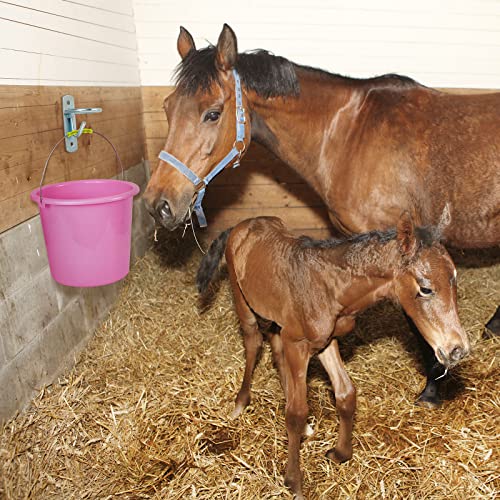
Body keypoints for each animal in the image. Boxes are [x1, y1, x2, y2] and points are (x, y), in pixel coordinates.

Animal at [197, 213, 470, 498]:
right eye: (426, 288)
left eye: (454, 278)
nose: (457, 349)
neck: (330, 288)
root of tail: (242, 225)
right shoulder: (298, 344)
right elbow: (296, 412)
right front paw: (294, 483)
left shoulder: (326, 342)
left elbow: (345, 393)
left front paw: (339, 453)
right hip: (243, 300)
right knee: (253, 343)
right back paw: (240, 403)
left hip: (275, 319)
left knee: (276, 351)